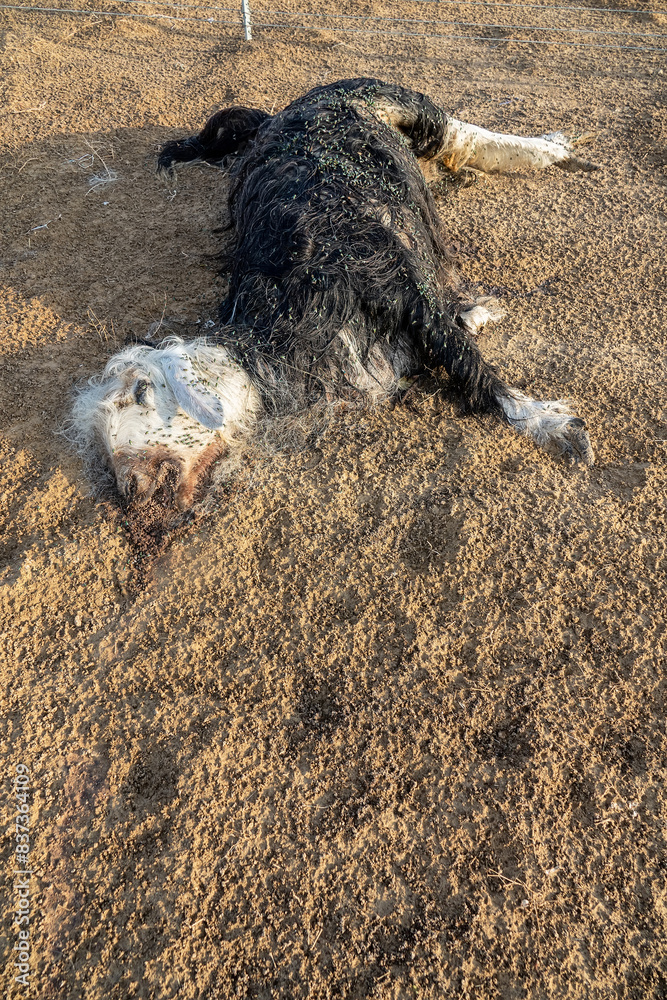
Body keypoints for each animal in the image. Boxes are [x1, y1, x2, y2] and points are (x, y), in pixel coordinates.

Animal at [69, 78, 596, 511]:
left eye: (140, 391)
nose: (129, 489)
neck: (288, 321)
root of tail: (281, 111)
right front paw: (476, 312)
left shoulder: (399, 284)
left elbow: (469, 365)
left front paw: (547, 421)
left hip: (395, 100)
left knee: (458, 133)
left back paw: (550, 147)